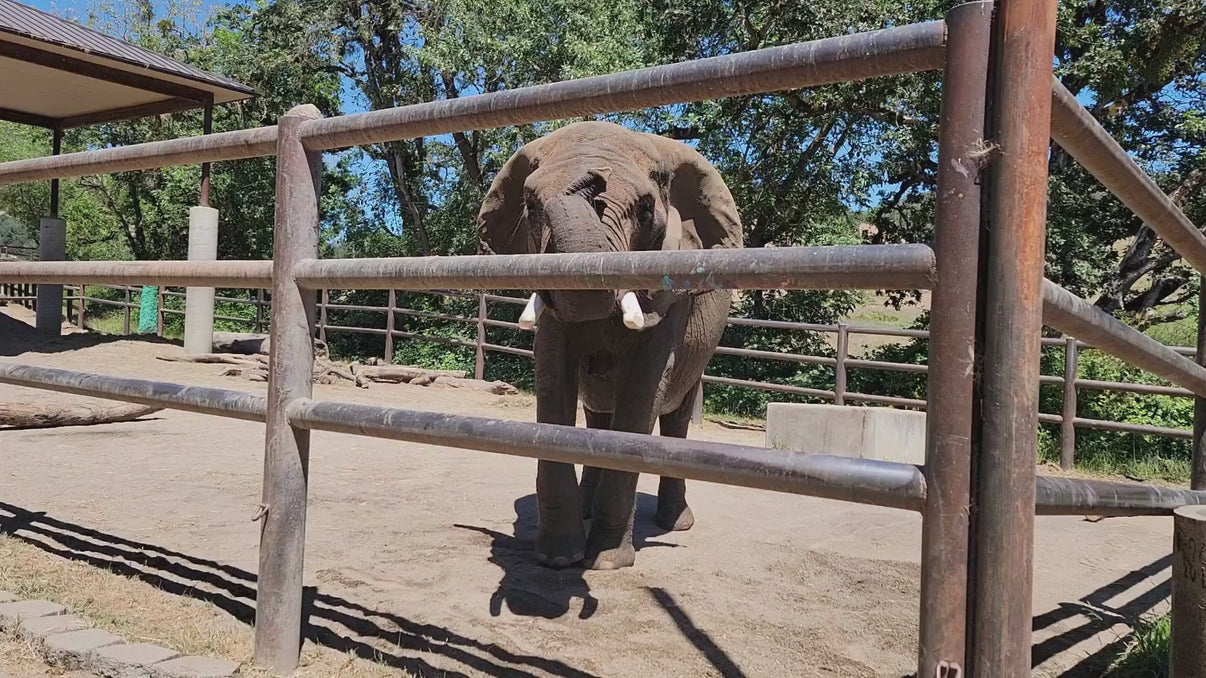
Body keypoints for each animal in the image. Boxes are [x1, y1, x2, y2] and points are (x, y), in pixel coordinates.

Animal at [476, 120, 743, 570]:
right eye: (531, 205)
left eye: (646, 210)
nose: (592, 177)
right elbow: (553, 381)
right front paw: (558, 558)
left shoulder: (671, 291)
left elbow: (641, 392)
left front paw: (605, 562)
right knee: (599, 412)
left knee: (675, 416)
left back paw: (676, 524)